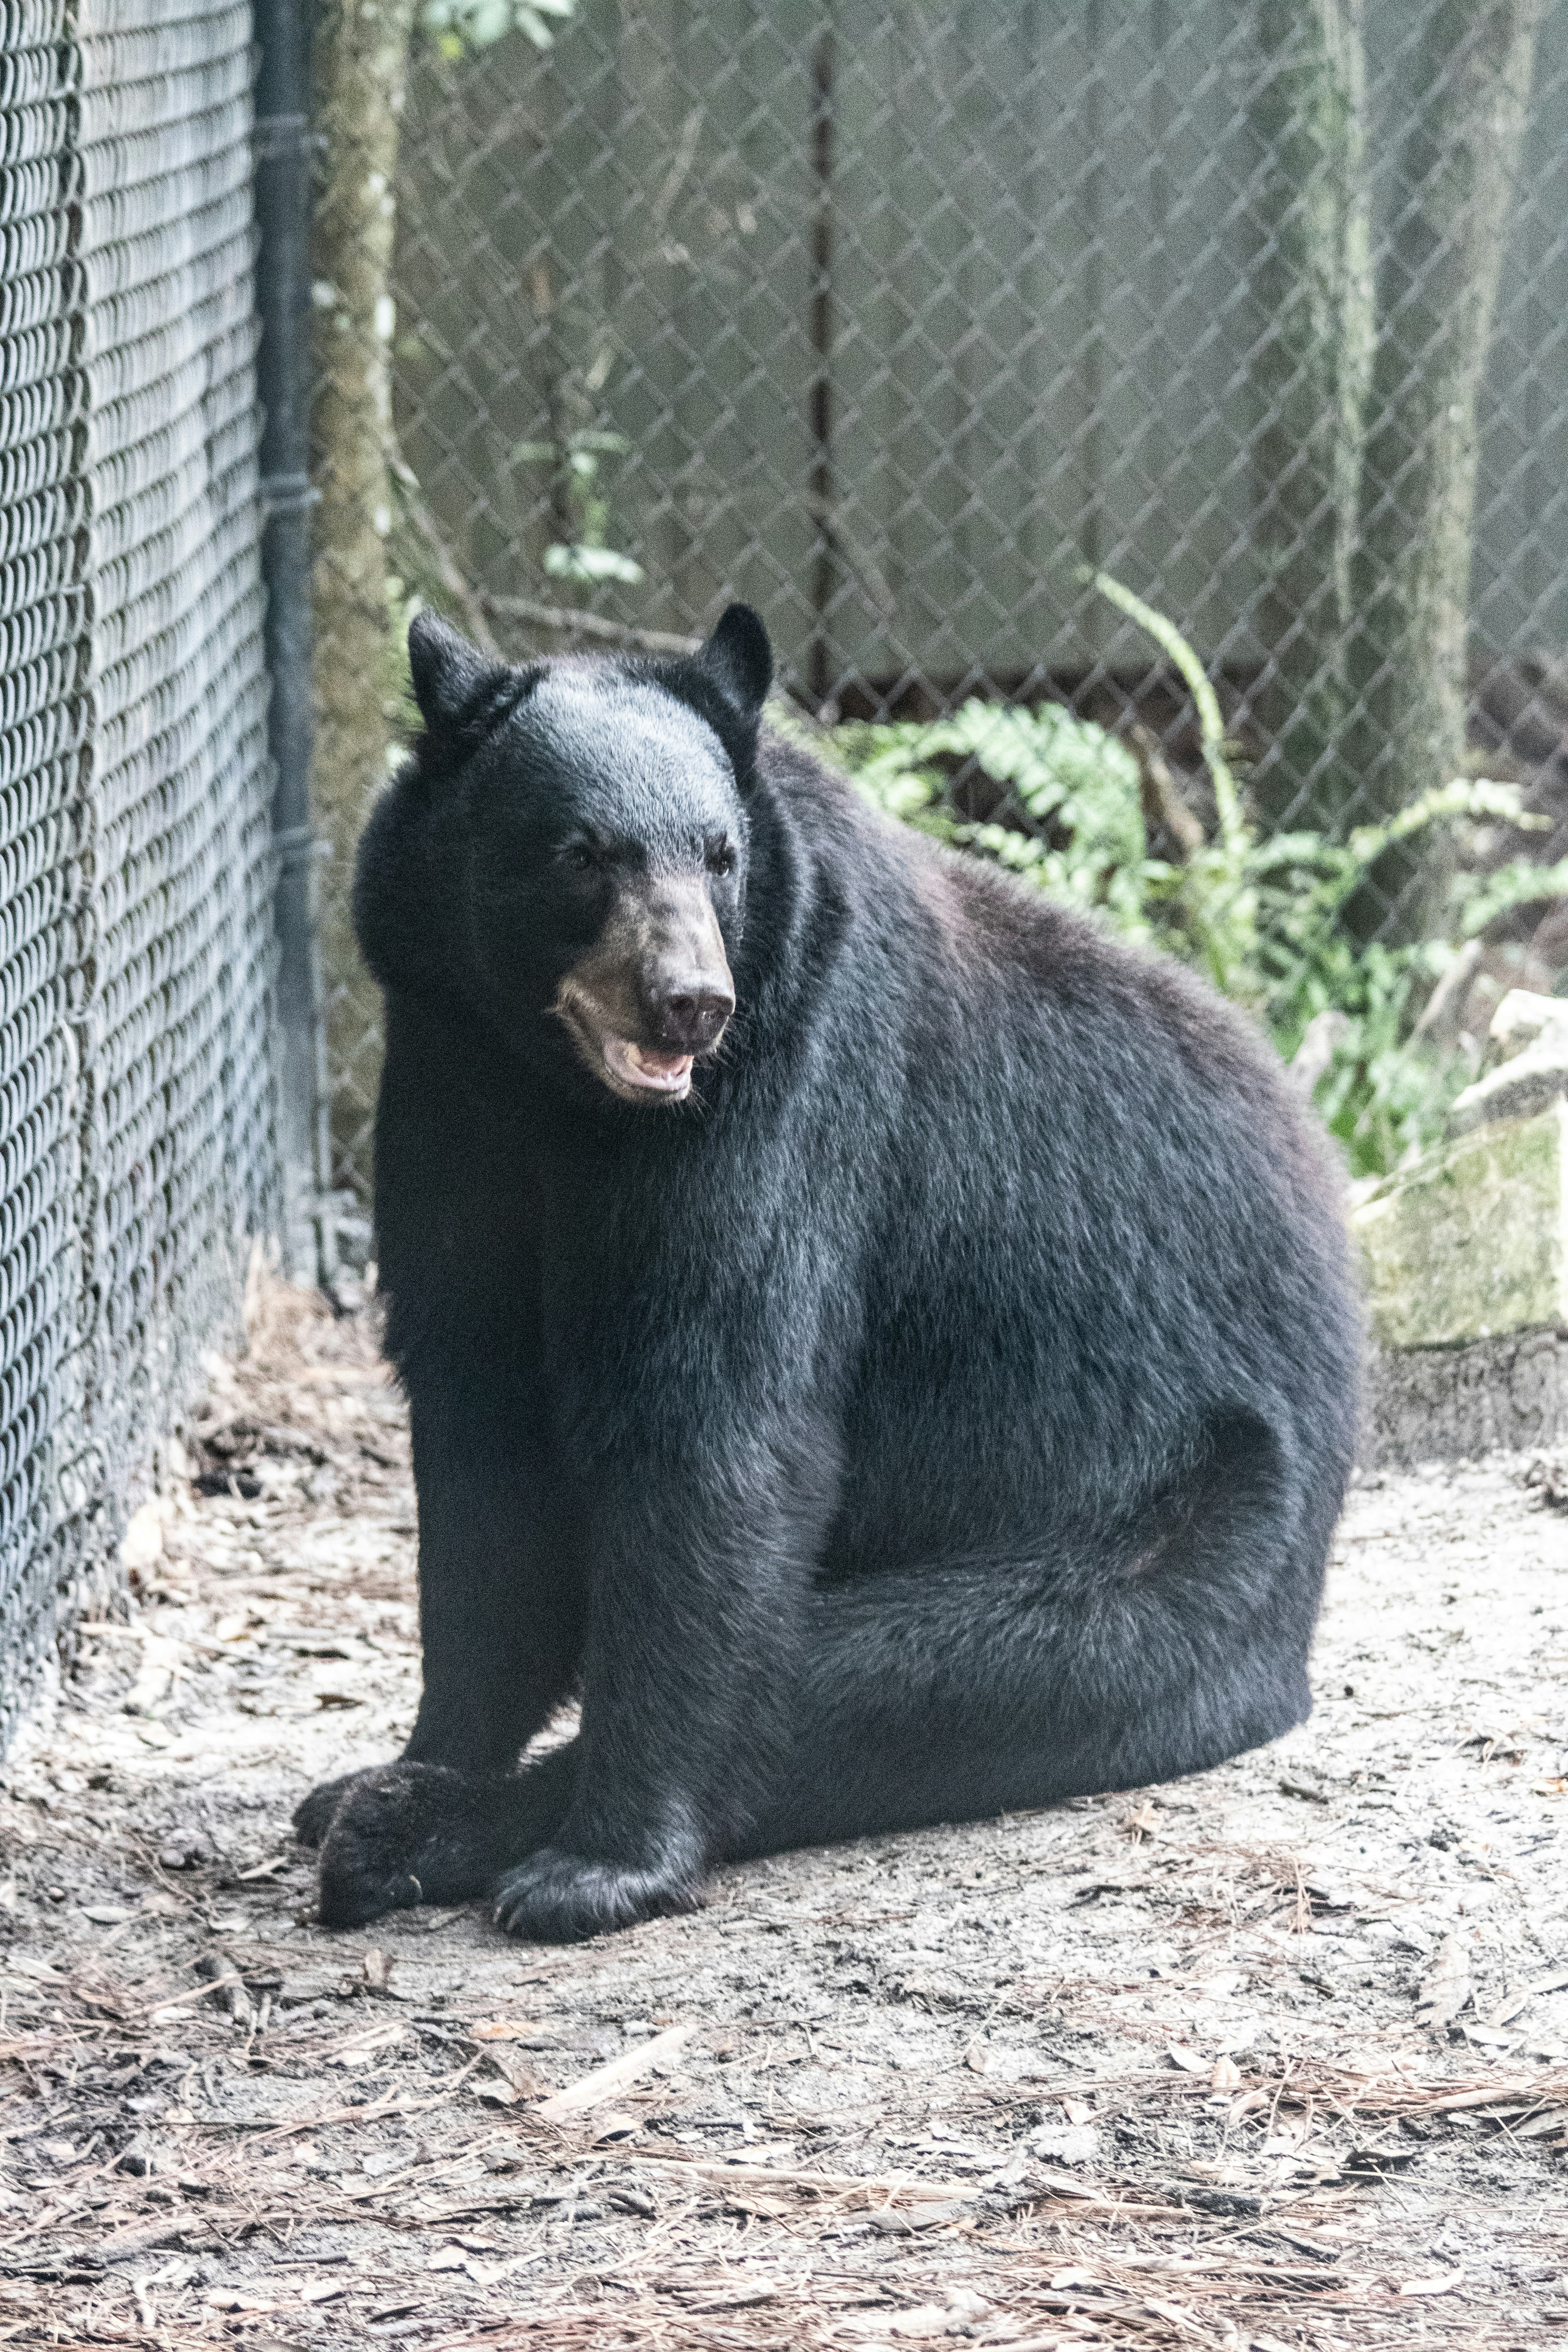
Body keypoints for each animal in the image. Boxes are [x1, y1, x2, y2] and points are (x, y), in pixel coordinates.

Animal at [295, 601, 1360, 1943]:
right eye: (582, 854)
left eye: (719, 855)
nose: (689, 1002)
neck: (564, 1098)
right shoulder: (446, 1078)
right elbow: (477, 1422)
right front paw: (414, 1750)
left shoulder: (791, 1084)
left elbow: (718, 1422)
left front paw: (597, 1863)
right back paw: (364, 1809)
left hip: (1181, 1529)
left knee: (879, 1681)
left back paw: (410, 1837)